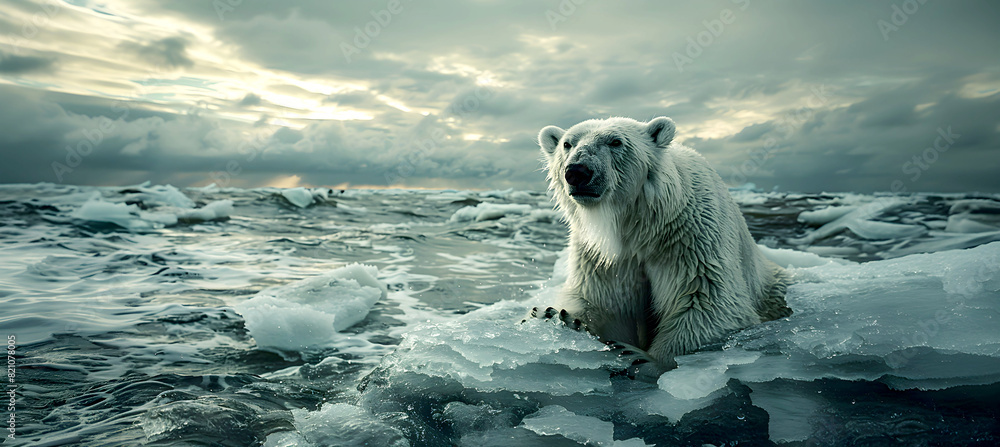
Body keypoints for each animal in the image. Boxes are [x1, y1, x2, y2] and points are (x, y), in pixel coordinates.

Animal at [532, 116, 791, 372]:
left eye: (615, 141)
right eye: (567, 144)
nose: (577, 172)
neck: (641, 226)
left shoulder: (692, 238)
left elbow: (710, 301)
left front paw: (643, 359)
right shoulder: (602, 256)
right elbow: (602, 301)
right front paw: (558, 316)